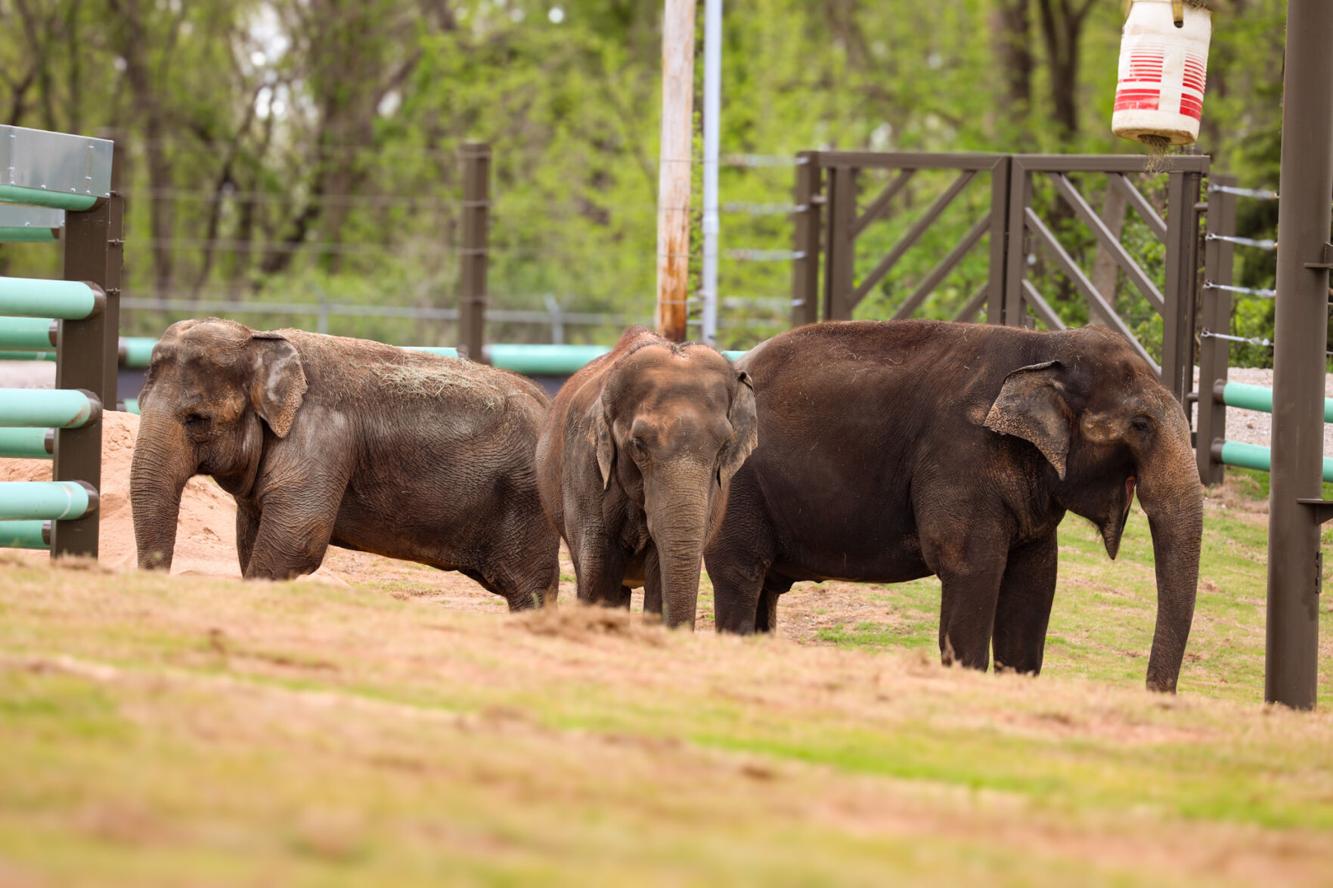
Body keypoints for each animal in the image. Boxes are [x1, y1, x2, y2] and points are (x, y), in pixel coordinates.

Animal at [130, 318, 559, 610]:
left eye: (197, 419)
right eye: (138, 403)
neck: (259, 339)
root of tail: (548, 401)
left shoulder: (321, 438)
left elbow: (297, 539)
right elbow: (251, 538)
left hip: (528, 506)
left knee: (530, 590)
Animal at [704, 320, 1203, 692]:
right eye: (1140, 425)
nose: (1156, 693)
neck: (1045, 345)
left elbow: (1035, 581)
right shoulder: (962, 456)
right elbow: (970, 567)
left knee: (765, 588)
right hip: (737, 490)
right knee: (740, 576)